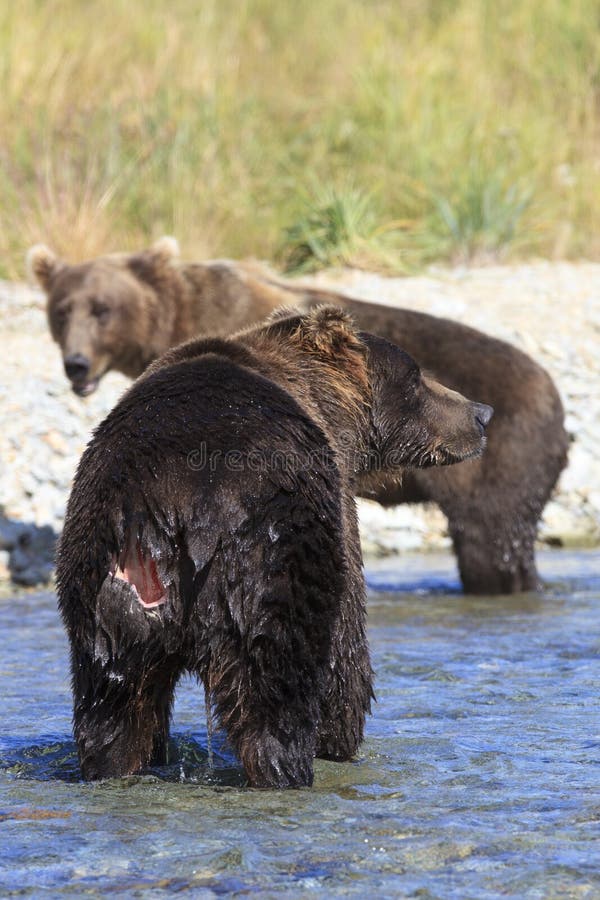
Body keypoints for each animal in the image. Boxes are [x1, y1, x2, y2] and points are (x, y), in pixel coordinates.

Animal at [28, 239, 567, 595]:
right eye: (62, 310)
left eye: (103, 309)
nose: (76, 363)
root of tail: (559, 404)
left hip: (501, 456)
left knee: (489, 537)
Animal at [56, 307, 492, 787]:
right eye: (416, 378)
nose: (482, 414)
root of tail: (183, 504)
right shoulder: (337, 502)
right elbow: (347, 647)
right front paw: (340, 738)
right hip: (274, 557)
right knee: (276, 692)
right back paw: (286, 770)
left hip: (101, 582)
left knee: (113, 711)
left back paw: (112, 766)